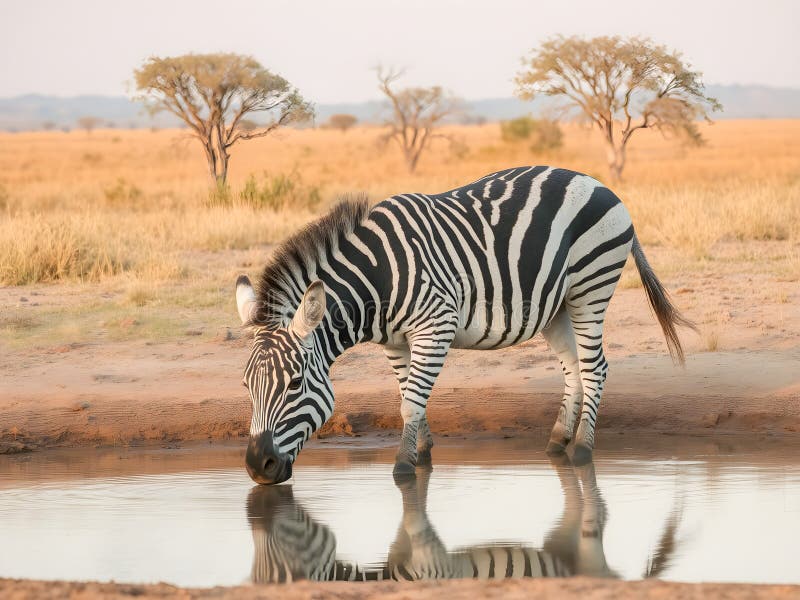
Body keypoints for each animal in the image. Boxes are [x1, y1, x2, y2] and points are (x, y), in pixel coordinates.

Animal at [235, 166, 694, 483]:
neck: (378, 278)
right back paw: (557, 442)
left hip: (590, 287)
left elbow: (411, 401)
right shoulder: (396, 342)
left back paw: (582, 449)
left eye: (295, 383)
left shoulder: (435, 325)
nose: (258, 467)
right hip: (556, 305)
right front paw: (422, 452)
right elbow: (409, 394)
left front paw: (404, 468)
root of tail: (599, 183)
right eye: (246, 385)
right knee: (574, 369)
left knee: (595, 368)